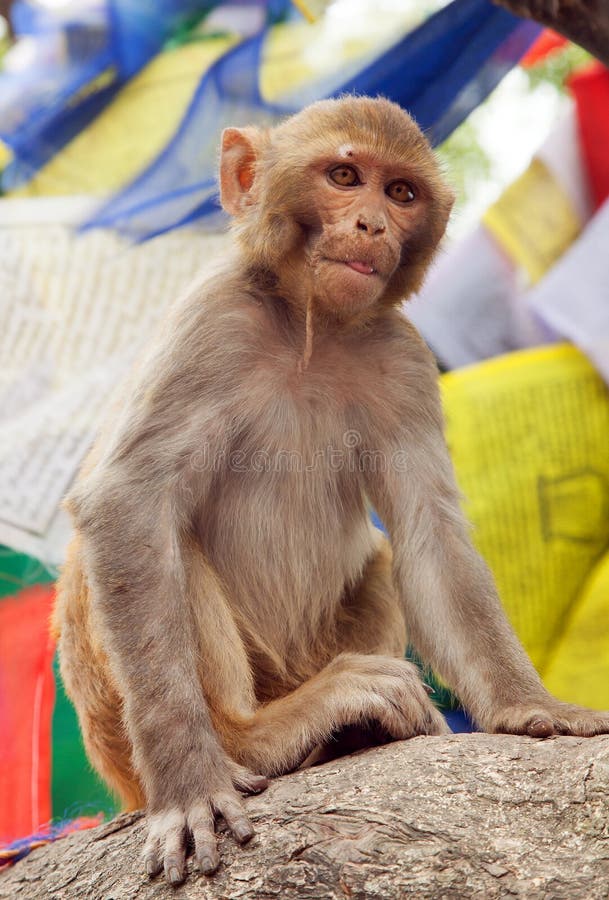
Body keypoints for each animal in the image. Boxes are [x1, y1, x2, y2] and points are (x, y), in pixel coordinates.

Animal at [53, 96, 609, 885]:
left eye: (400, 193)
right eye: (344, 177)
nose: (371, 224)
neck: (307, 328)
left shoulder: (403, 358)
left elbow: (428, 536)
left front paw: (529, 706)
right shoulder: (211, 320)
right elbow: (126, 501)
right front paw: (189, 783)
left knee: (378, 557)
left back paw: (349, 736)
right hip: (122, 732)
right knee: (155, 544)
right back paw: (253, 736)